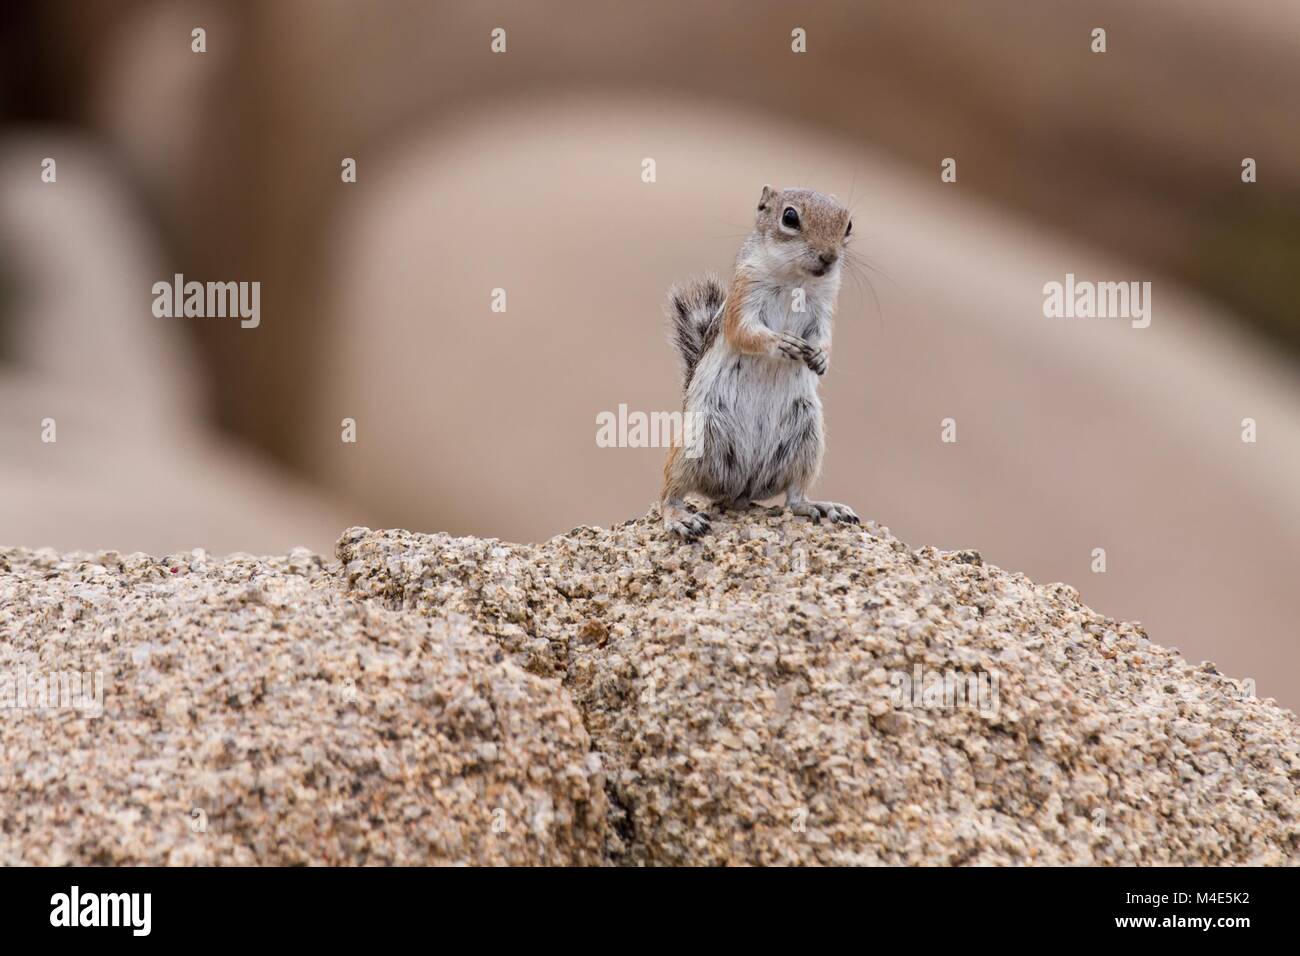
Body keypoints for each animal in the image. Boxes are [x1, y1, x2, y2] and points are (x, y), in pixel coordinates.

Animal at [660, 185, 860, 539]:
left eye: (848, 225)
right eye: (790, 217)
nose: (829, 257)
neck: (797, 280)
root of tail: (740, 491)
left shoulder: (824, 310)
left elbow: (823, 339)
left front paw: (820, 357)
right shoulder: (745, 296)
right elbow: (744, 333)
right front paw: (781, 343)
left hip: (807, 439)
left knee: (795, 497)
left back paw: (822, 506)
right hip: (694, 440)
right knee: (670, 490)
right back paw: (678, 517)